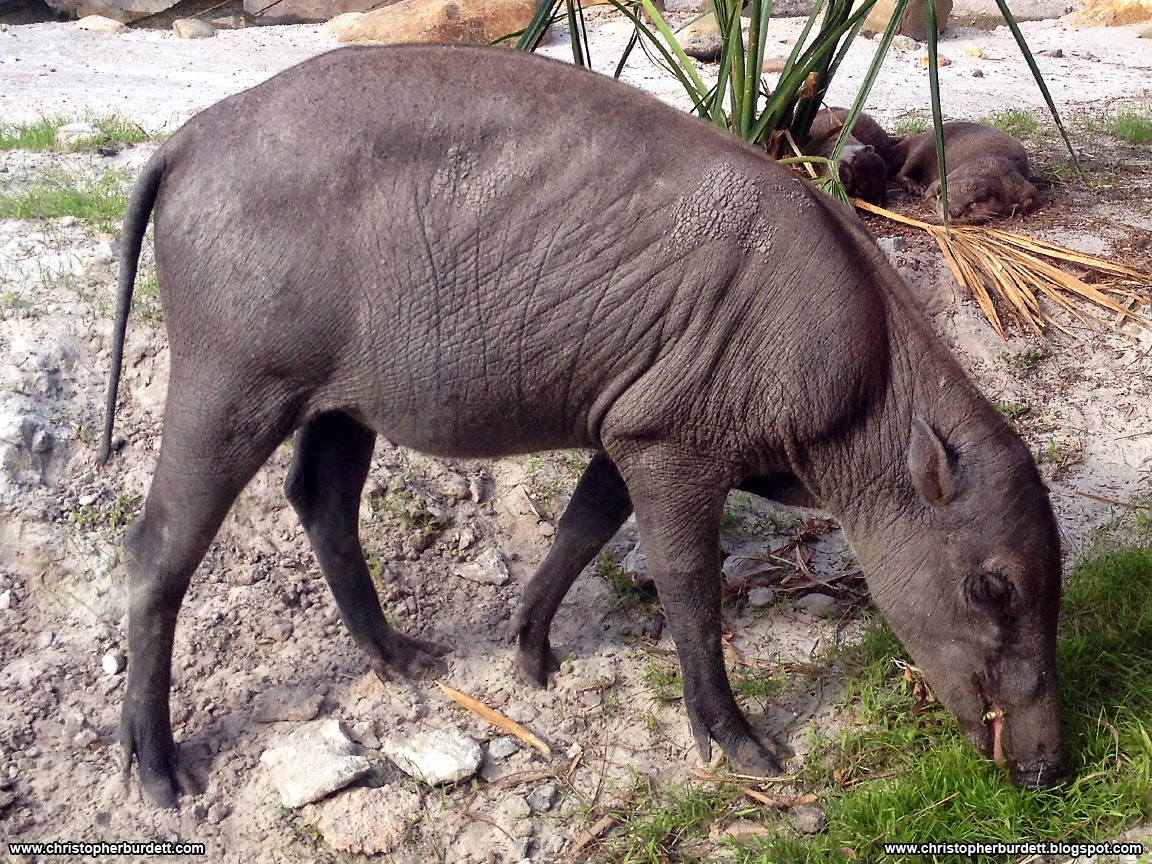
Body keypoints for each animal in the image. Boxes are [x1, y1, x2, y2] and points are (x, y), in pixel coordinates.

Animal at [893, 121, 1039, 222]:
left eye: (971, 203)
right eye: (947, 200)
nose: (954, 213)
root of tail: (919, 136)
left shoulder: (1012, 183)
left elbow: (1031, 197)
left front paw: (1011, 209)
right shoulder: (940, 180)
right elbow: (929, 193)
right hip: (925, 148)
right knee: (900, 173)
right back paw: (914, 186)